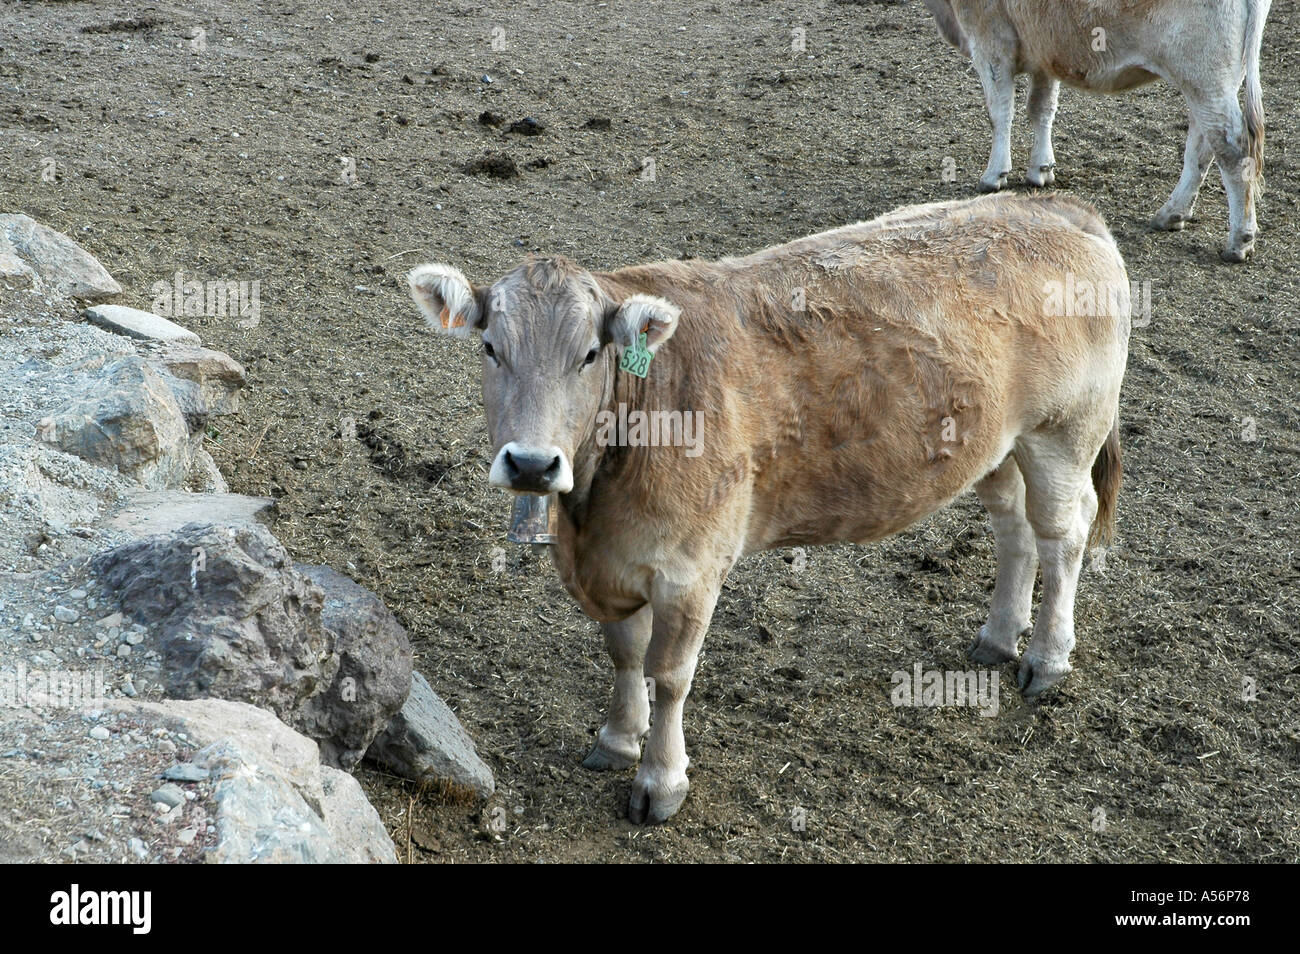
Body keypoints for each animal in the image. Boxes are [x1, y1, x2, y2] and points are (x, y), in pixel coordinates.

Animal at [408, 192, 1129, 824]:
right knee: (1014, 528)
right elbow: (624, 653)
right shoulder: (615, 562)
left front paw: (659, 781)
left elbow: (669, 674)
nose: (532, 464)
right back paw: (999, 636)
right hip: (995, 444)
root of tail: (1050, 205)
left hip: (1065, 431)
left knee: (1062, 533)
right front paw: (616, 739)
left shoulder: (690, 569)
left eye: (589, 354)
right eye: (490, 348)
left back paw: (1046, 657)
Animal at [920, 0, 1270, 262]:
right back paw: (1172, 214)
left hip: (1204, 77)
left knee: (1231, 148)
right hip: (1213, 82)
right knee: (1202, 146)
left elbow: (999, 112)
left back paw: (1239, 240)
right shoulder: (1043, 51)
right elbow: (1042, 108)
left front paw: (994, 175)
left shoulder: (991, 42)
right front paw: (1040, 169)